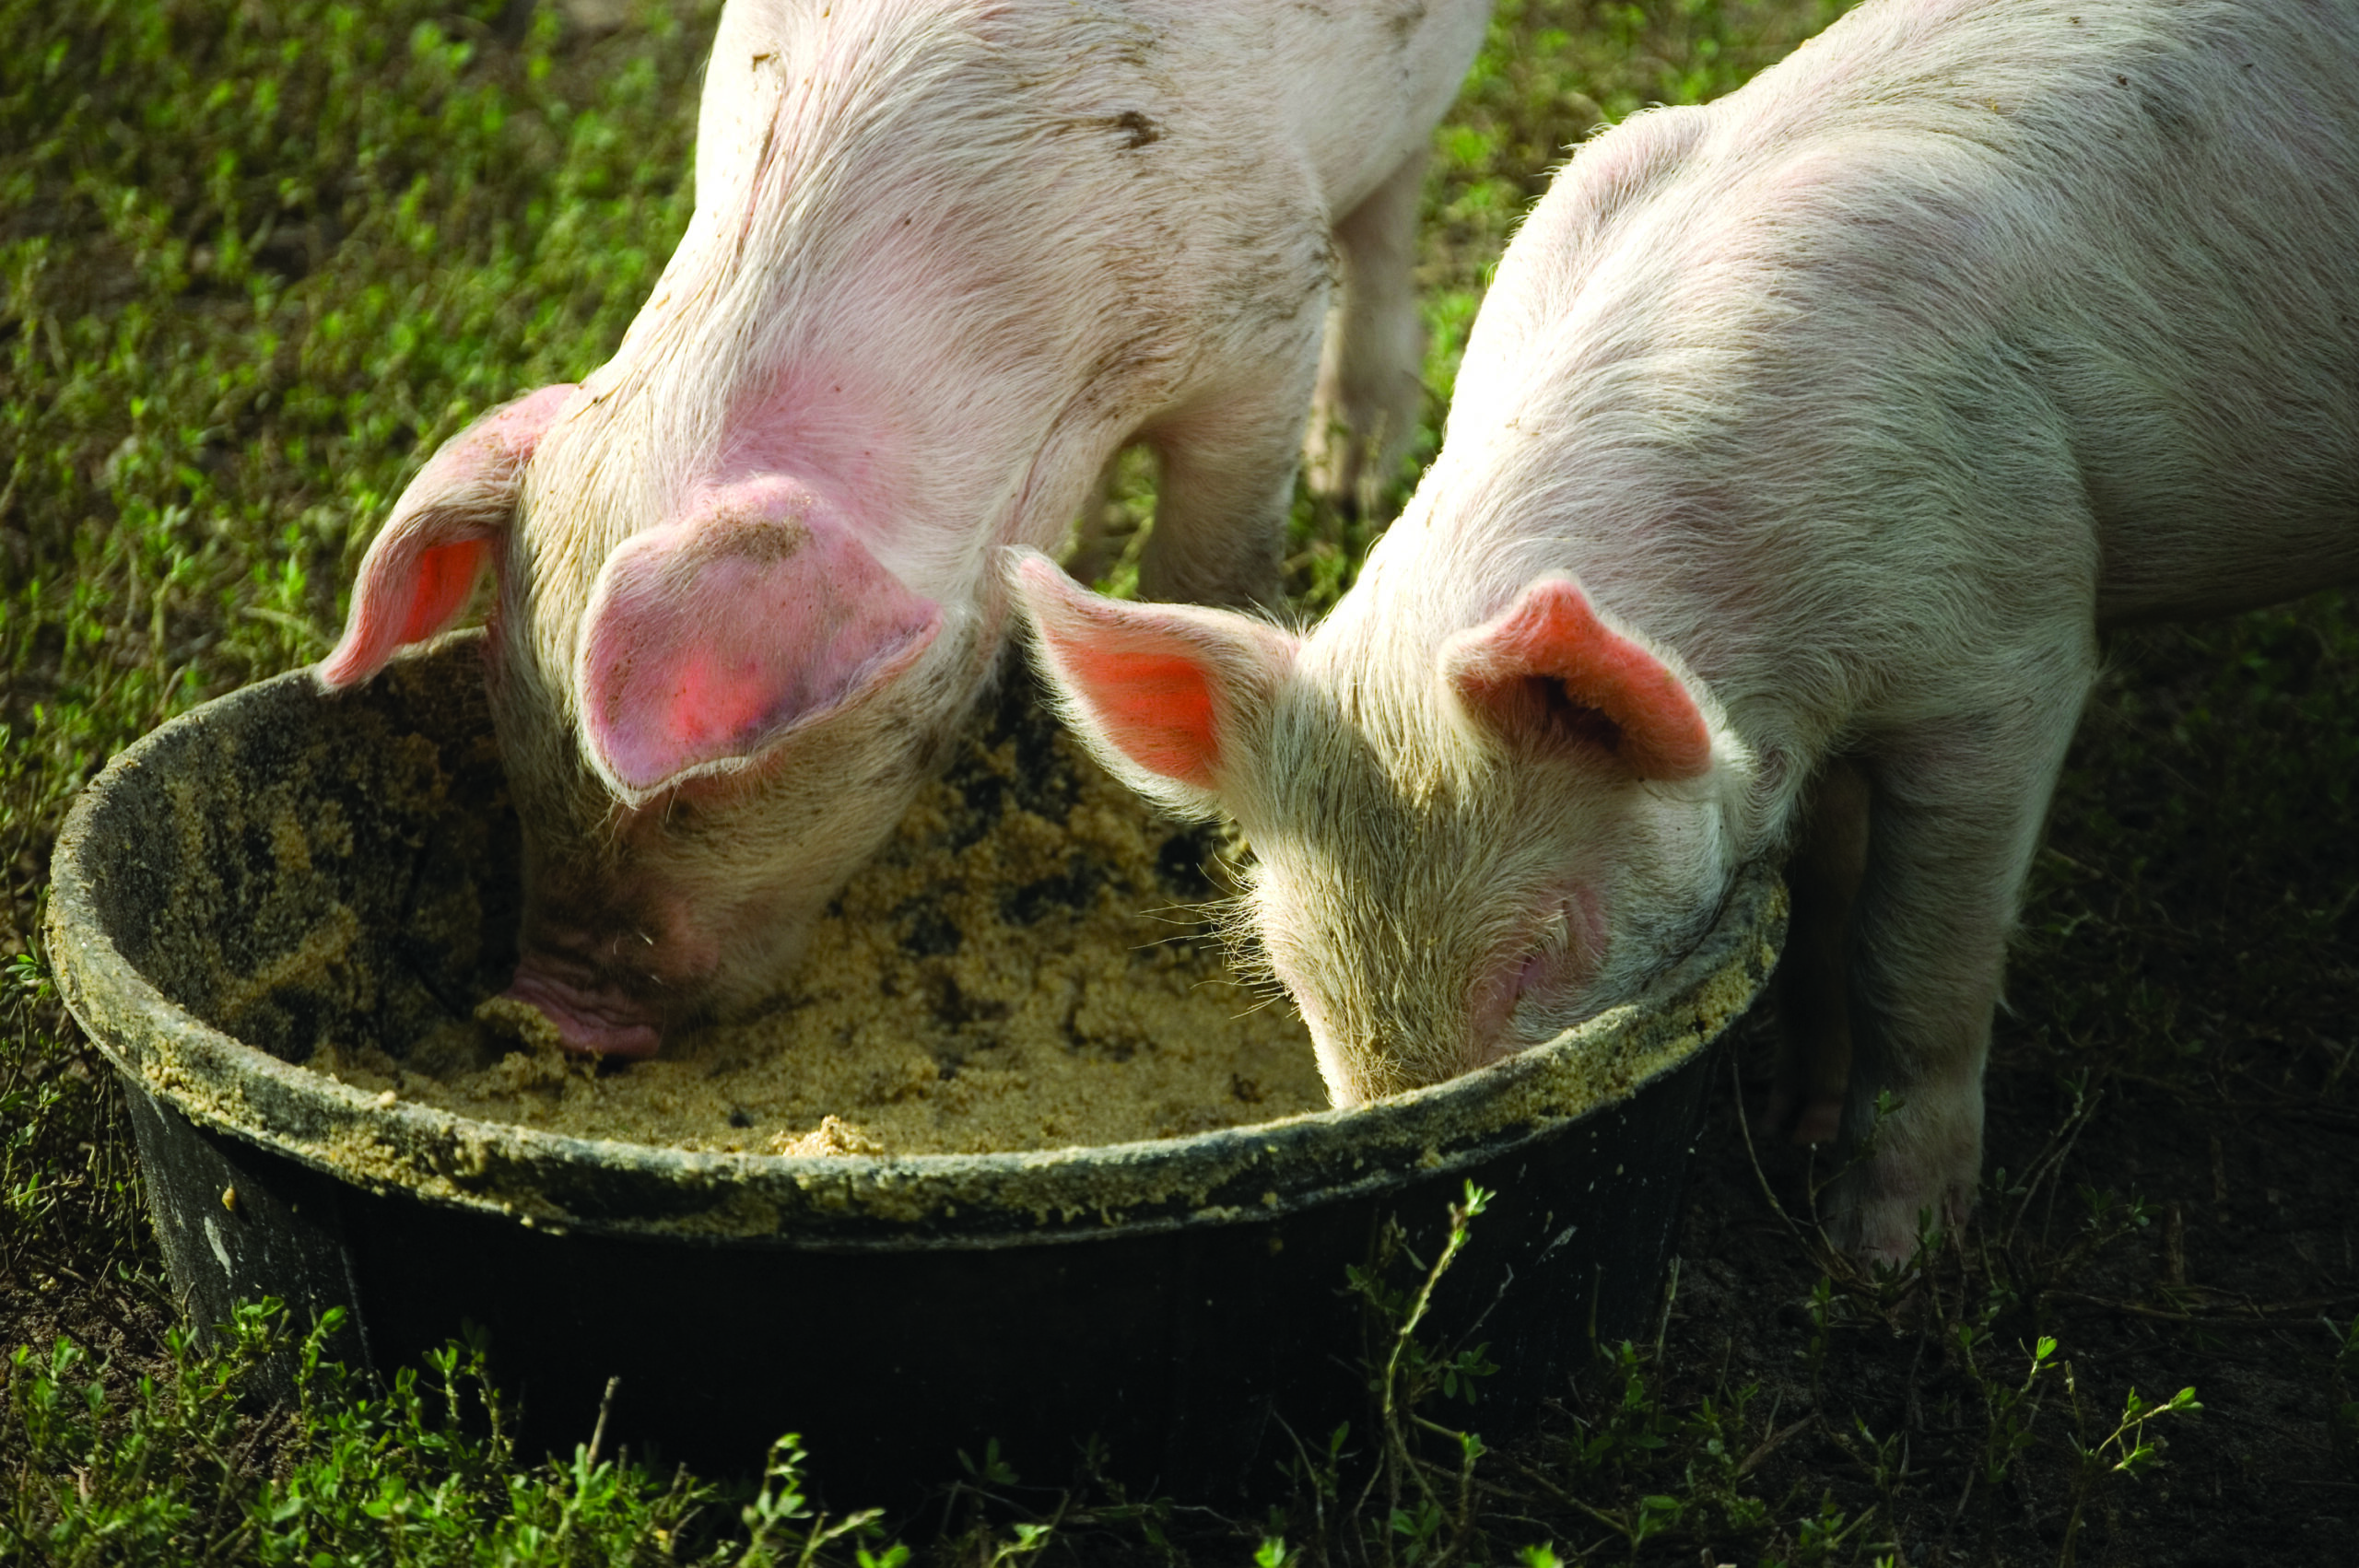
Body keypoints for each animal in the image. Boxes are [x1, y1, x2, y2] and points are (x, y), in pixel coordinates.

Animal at [315, 0, 1491, 1056]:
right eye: (512, 739)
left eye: (697, 792)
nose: (552, 1012)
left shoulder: (1261, 307)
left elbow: (1211, 560)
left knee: (1388, 215)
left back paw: (1353, 474)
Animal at [1011, 0, 2359, 1262]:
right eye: (1288, 961)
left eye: (1548, 941)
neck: (1786, 660)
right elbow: (1822, 904)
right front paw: (1794, 1119)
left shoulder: (2012, 648)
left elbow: (1917, 953)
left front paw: (1882, 1252)